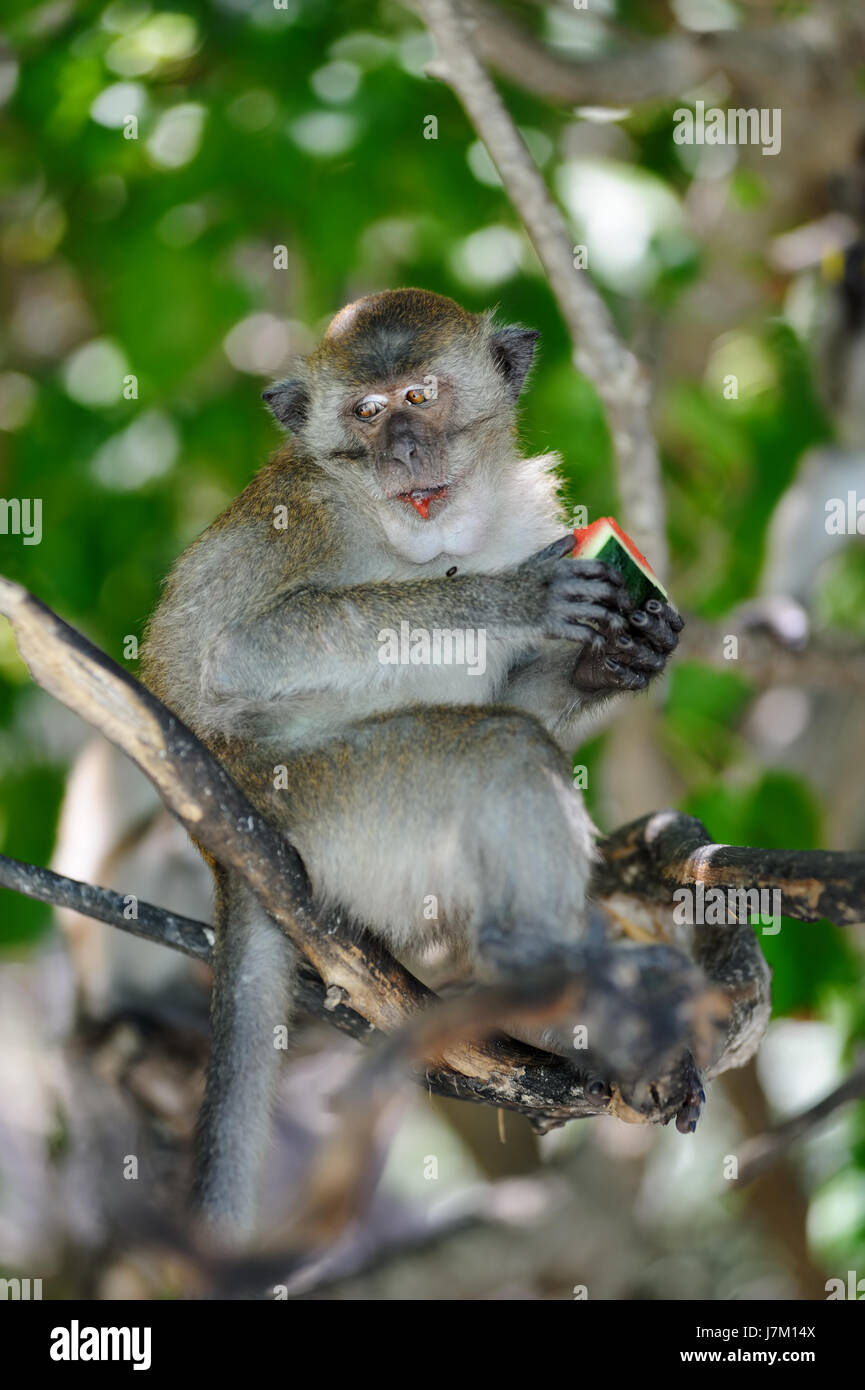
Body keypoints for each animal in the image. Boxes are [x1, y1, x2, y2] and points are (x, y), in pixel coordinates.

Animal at [142, 288, 769, 1248]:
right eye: (366, 413)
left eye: (419, 397)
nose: (402, 450)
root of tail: (225, 853)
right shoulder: (303, 522)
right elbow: (238, 652)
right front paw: (506, 597)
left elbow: (524, 691)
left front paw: (620, 655)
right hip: (328, 800)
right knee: (494, 746)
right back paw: (540, 962)